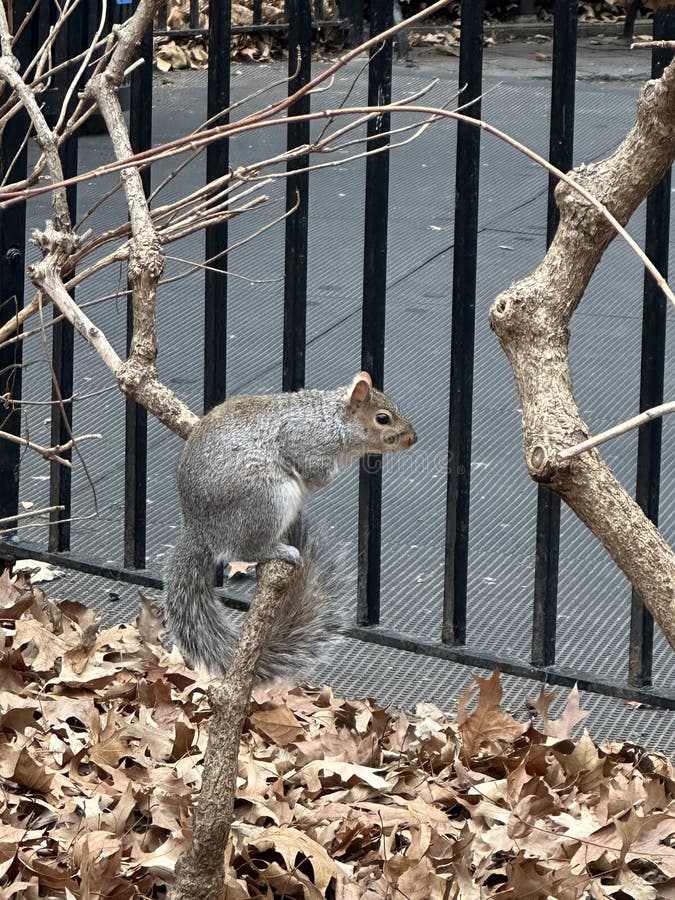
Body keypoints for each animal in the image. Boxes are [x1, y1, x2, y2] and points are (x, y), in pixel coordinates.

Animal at [164, 371, 417, 682]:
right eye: (383, 418)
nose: (413, 438)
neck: (333, 420)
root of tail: (197, 529)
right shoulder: (305, 440)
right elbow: (313, 470)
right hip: (265, 500)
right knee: (246, 548)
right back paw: (279, 550)